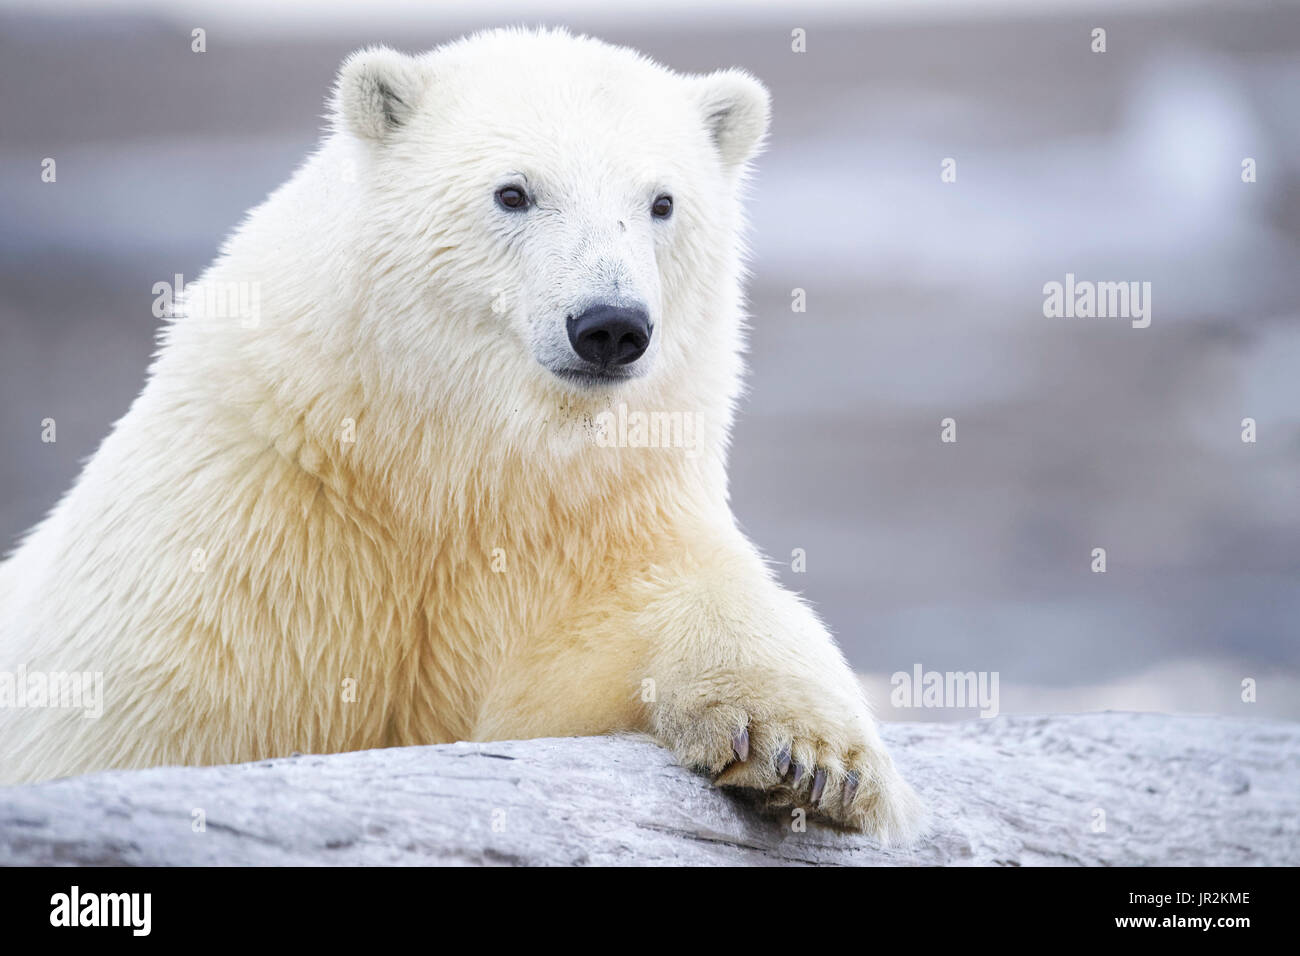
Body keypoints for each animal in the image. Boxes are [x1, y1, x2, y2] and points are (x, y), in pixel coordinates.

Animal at [0, 28, 923, 842]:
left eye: (662, 202)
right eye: (513, 191)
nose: (610, 325)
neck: (430, 466)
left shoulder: (587, 521)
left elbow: (641, 627)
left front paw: (807, 759)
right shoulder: (245, 533)